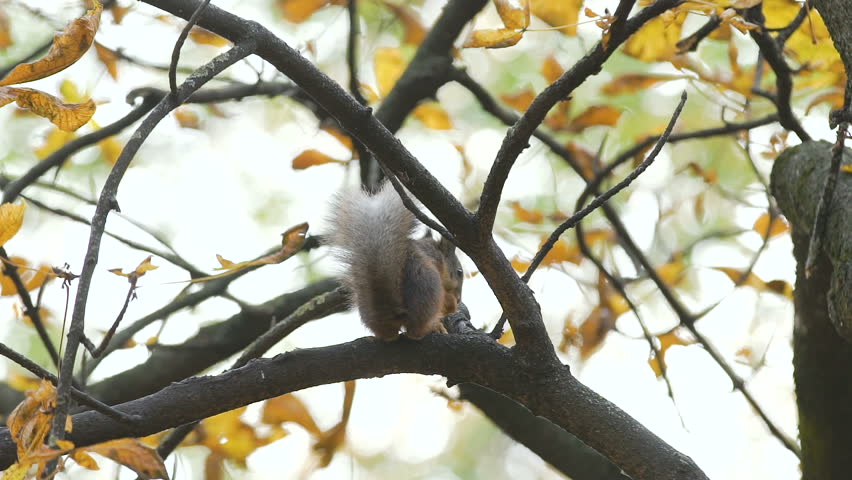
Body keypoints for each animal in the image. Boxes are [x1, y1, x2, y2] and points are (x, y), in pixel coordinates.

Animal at [327, 181, 463, 340]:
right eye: (459, 272)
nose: (459, 299)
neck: (437, 254)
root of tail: (393, 310)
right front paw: (451, 304)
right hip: (429, 284)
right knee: (415, 332)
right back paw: (433, 327)